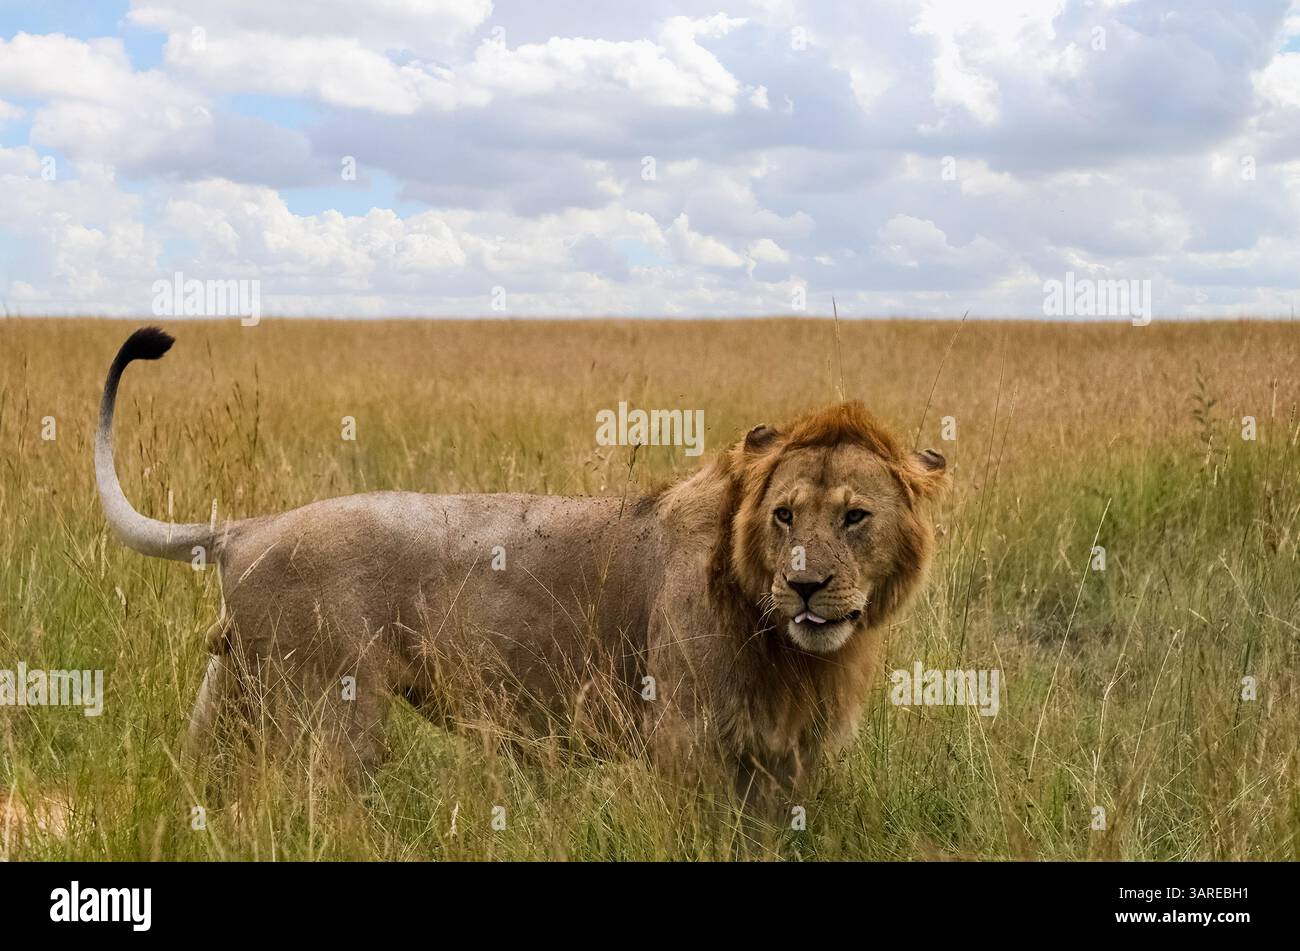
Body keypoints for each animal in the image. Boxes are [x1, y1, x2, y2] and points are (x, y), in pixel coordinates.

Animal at [95, 327, 948, 823]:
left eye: (854, 517)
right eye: (784, 516)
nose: (806, 587)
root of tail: (249, 527)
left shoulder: (786, 754)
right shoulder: (685, 734)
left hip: (233, 698)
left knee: (200, 780)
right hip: (334, 709)